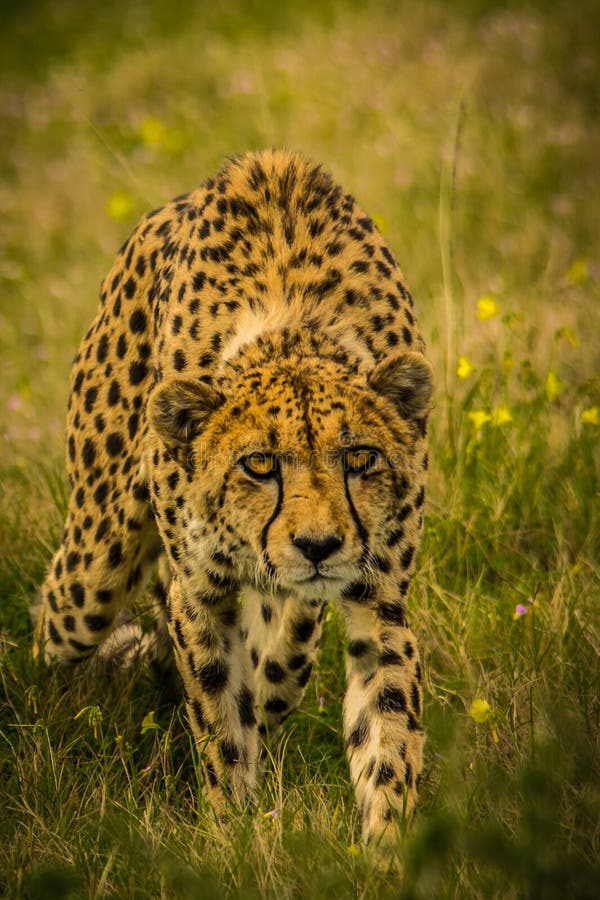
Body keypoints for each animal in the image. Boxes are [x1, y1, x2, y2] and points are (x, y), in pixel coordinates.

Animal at [34, 149, 433, 848]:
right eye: (260, 464)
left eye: (360, 458)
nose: (318, 545)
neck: (295, 333)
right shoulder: (197, 593)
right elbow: (220, 718)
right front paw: (230, 833)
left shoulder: (380, 601)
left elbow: (384, 730)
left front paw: (387, 848)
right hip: (91, 574)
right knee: (57, 623)